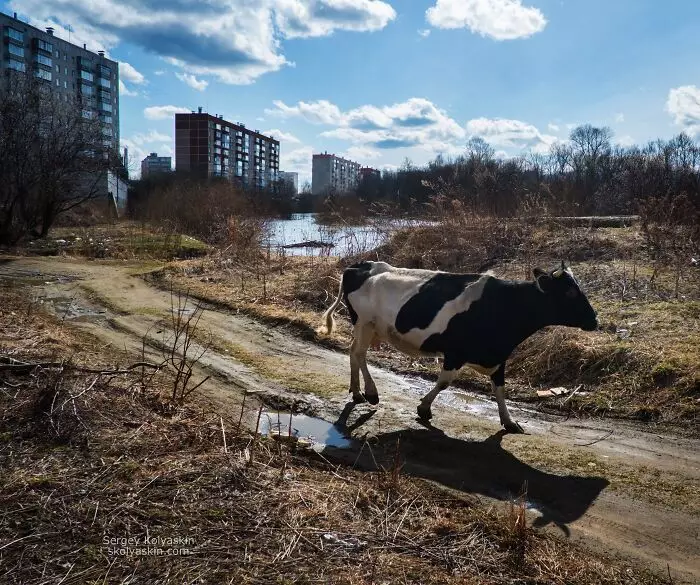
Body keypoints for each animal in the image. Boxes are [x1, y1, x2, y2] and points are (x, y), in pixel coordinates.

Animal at [320, 260, 600, 434]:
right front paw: (424, 408)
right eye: (570, 293)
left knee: (353, 352)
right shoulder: (456, 353)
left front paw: (509, 422)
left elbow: (500, 390)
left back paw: (357, 392)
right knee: (359, 354)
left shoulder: (499, 356)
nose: (595, 320)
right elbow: (445, 382)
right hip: (364, 322)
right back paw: (370, 392)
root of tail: (360, 265)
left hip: (367, 327)